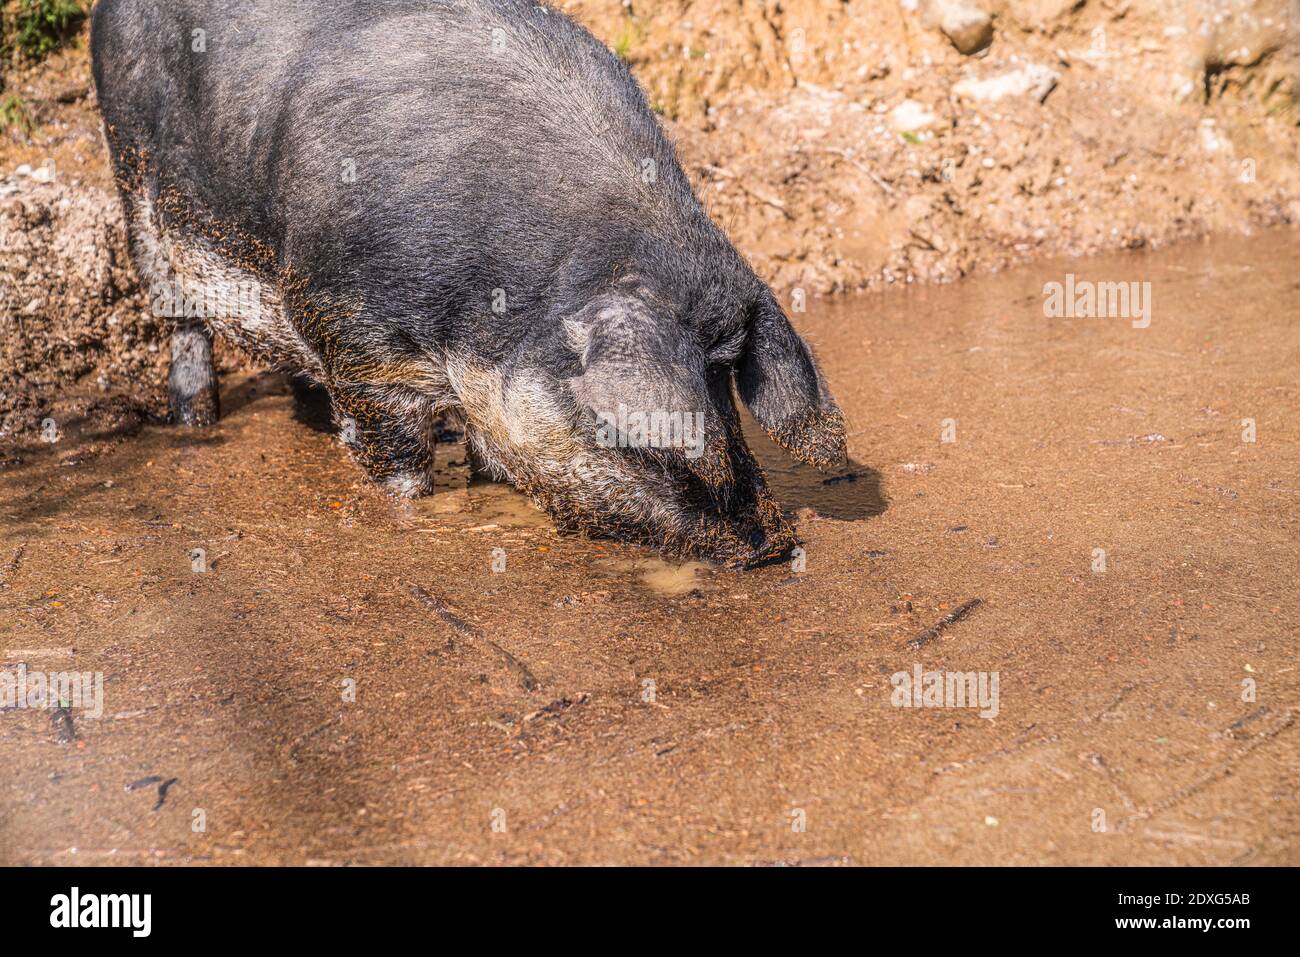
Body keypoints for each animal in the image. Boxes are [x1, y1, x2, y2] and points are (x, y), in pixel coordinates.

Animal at [90, 0, 847, 567]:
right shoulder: (358, 334)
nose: (774, 544)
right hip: (135, 184)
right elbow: (395, 457)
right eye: (633, 433)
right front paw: (413, 507)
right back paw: (196, 421)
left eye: (727, 380)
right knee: (181, 325)